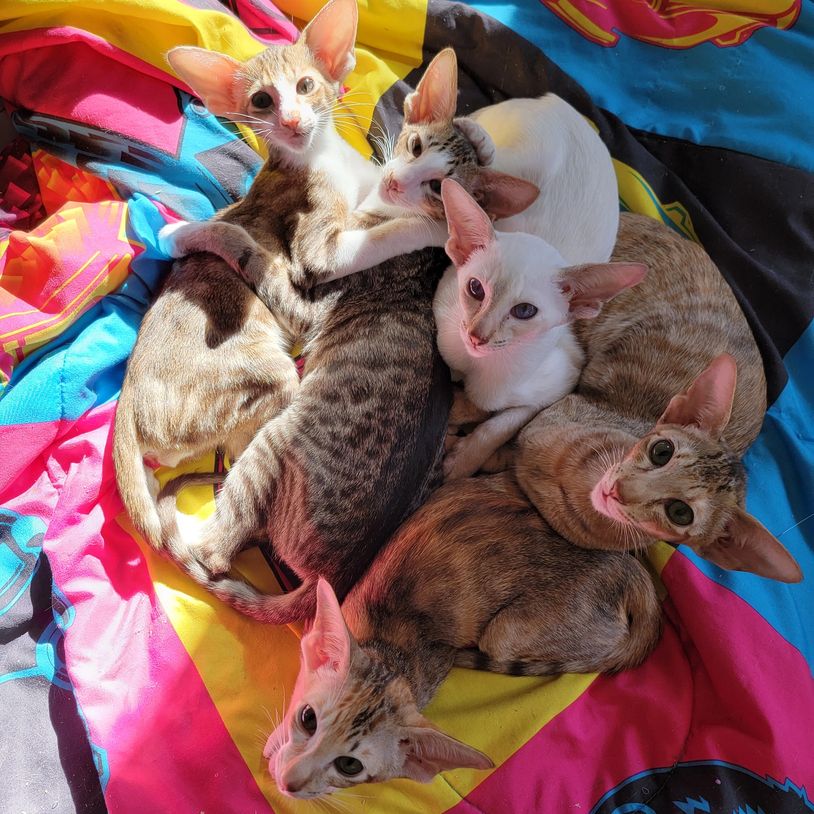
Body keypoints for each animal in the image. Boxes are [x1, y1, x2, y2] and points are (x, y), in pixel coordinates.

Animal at [114, 0, 451, 550]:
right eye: (261, 100)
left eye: (306, 85)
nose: (291, 120)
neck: (324, 161)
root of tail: (125, 401)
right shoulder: (319, 250)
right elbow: (379, 236)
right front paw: (430, 227)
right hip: (266, 383)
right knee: (233, 459)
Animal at [262, 473, 661, 799]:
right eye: (308, 719)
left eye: (349, 766)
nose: (289, 782)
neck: (388, 651)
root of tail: (633, 572)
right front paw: (278, 741)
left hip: (505, 632)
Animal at [432, 179, 646, 480]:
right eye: (475, 288)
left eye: (524, 311)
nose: (476, 337)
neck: (476, 367)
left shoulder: (563, 381)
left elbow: (500, 424)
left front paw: (462, 460)